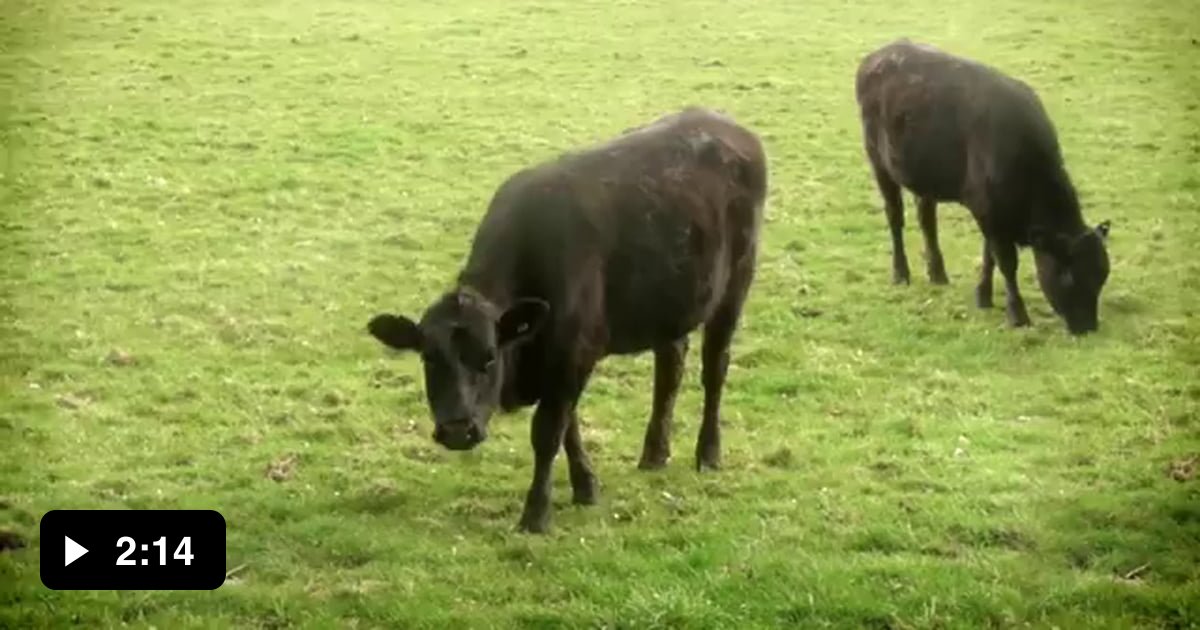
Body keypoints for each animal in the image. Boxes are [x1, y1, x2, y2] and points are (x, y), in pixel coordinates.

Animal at [366, 107, 768, 533]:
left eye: (489, 356)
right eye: (428, 357)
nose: (458, 431)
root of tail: (727, 125)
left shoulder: (572, 354)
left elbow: (548, 433)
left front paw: (536, 513)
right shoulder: (560, 361)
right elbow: (569, 427)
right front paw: (585, 486)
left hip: (735, 287)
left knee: (715, 369)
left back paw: (708, 453)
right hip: (670, 305)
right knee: (670, 369)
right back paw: (654, 454)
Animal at [855, 39, 1111, 334]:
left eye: (1102, 275)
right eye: (1069, 276)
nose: (1088, 327)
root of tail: (880, 54)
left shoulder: (993, 214)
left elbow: (989, 255)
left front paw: (984, 296)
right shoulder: (990, 212)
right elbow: (1006, 262)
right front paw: (1017, 314)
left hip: (925, 177)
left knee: (927, 220)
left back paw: (938, 273)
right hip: (879, 162)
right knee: (895, 216)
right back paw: (901, 273)